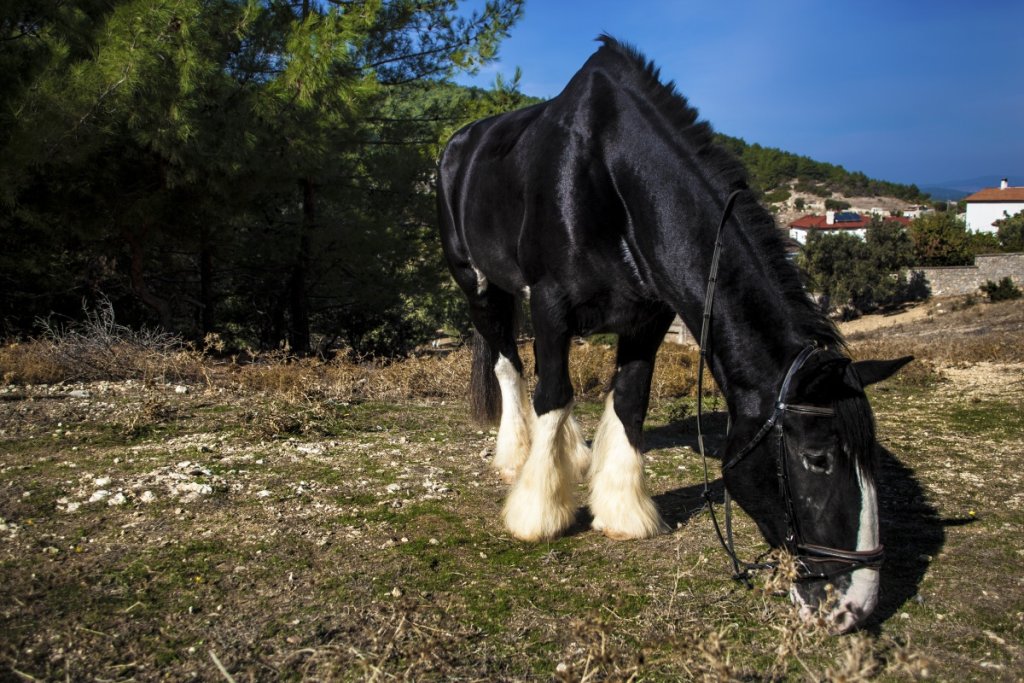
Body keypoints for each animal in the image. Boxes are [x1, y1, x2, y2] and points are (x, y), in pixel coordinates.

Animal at [436, 35, 911, 632]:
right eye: (818, 458)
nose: (855, 606)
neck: (608, 172)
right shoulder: (550, 304)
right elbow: (554, 393)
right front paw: (537, 511)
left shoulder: (649, 316)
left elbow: (629, 400)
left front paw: (622, 510)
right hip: (478, 283)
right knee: (511, 368)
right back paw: (516, 456)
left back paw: (573, 452)